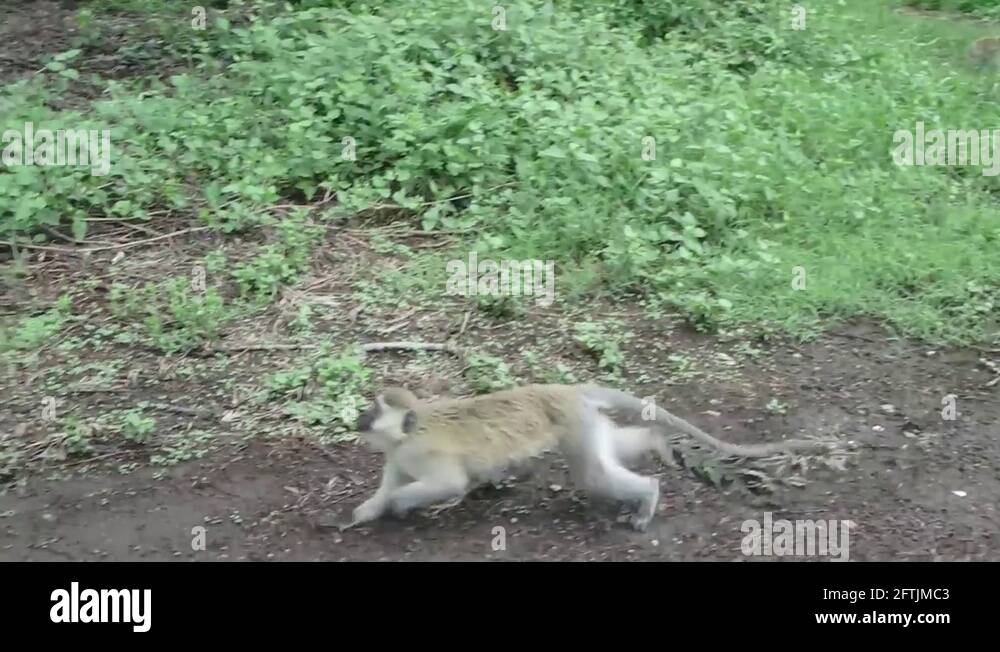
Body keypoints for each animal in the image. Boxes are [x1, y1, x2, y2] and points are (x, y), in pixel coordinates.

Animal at [345, 383, 843, 532]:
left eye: (372, 410)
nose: (357, 417)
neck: (407, 434)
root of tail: (564, 389)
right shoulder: (399, 455)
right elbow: (389, 483)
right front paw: (369, 511)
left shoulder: (423, 452)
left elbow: (448, 484)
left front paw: (401, 506)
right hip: (586, 424)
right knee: (609, 454)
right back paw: (656, 443)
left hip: (575, 427)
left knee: (596, 476)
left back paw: (648, 497)